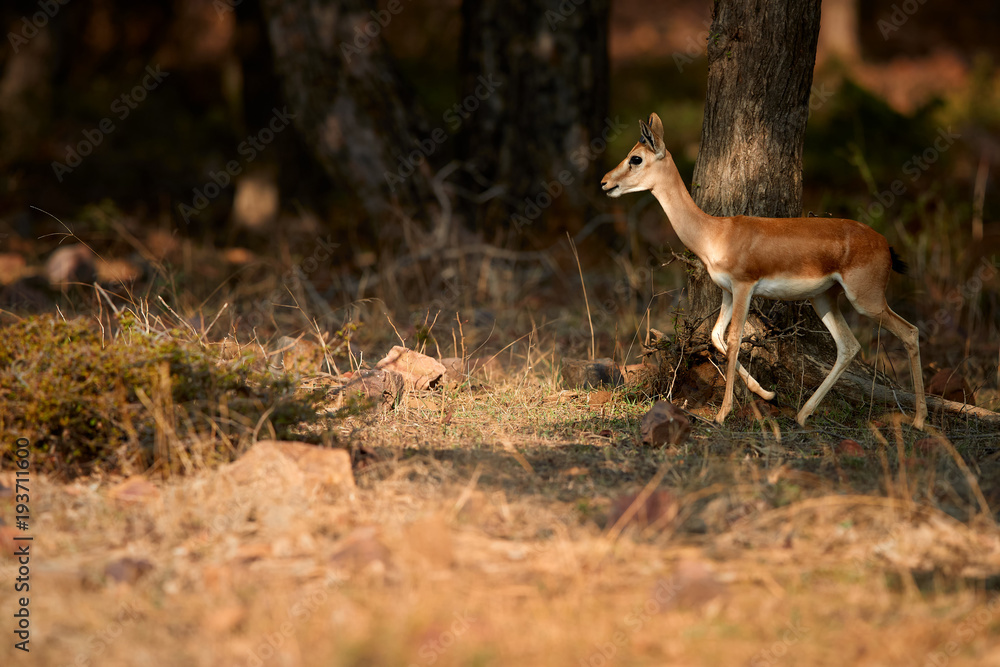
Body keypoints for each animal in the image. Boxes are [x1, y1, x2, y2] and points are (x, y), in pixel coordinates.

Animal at [602, 113, 927, 428]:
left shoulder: (744, 287)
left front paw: (722, 414)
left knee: (910, 332)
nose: (605, 182)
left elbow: (734, 339)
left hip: (865, 300)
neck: (715, 232)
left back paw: (920, 420)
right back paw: (802, 415)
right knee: (849, 345)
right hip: (823, 299)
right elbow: (716, 337)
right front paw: (768, 394)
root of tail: (884, 244)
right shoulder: (727, 291)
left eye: (636, 158)